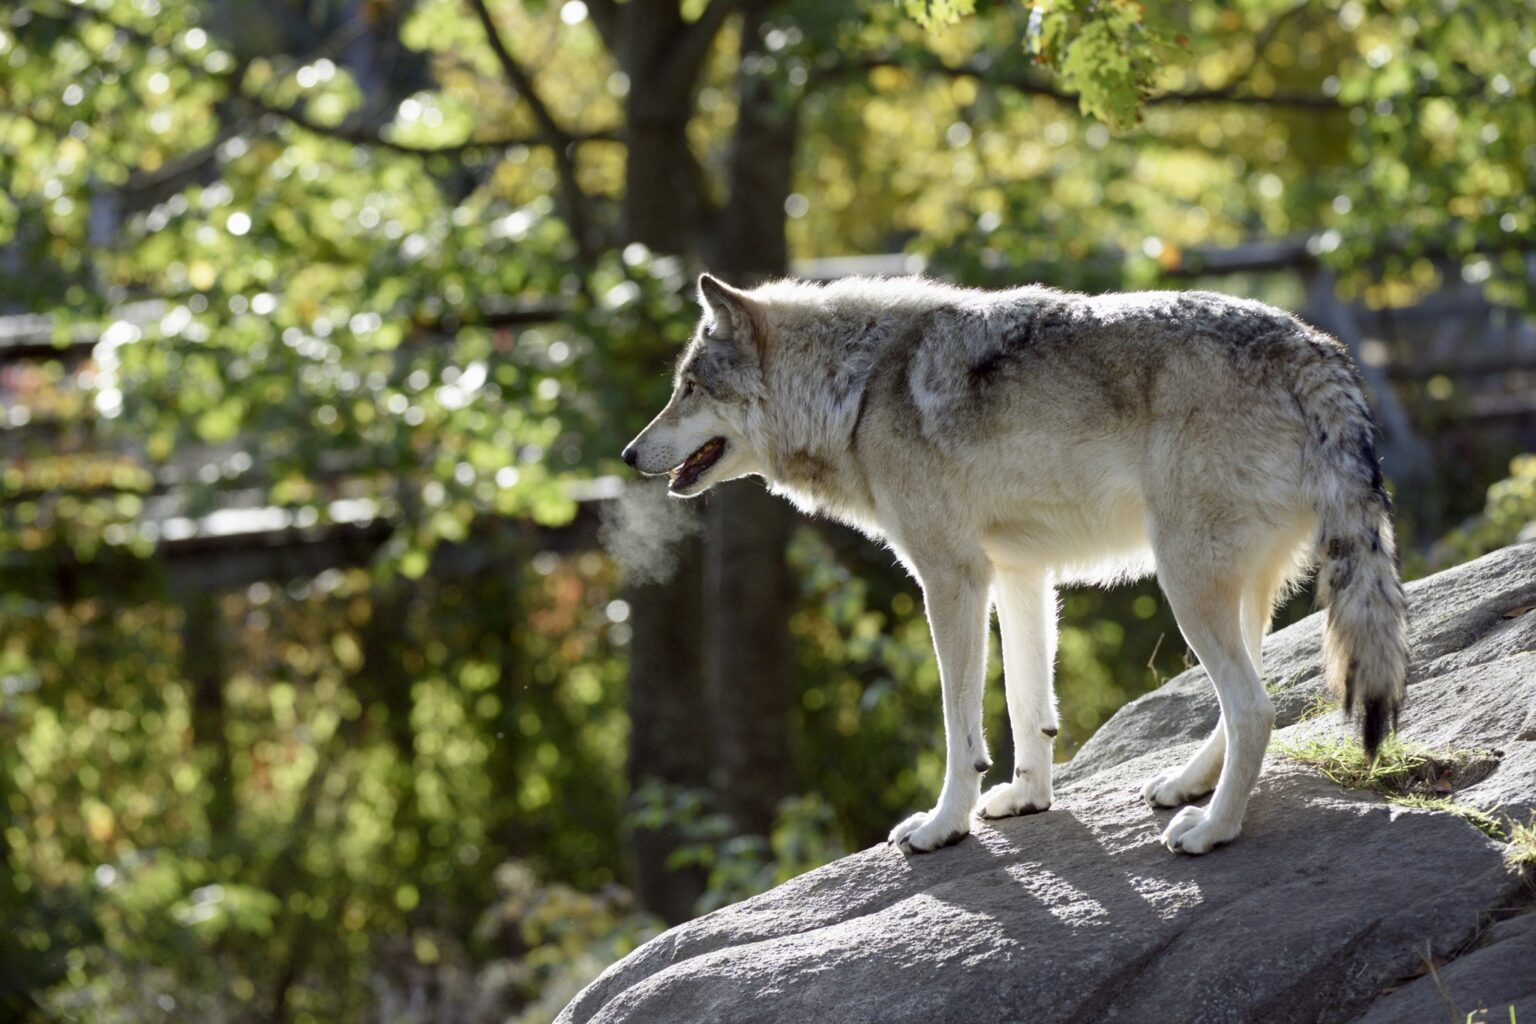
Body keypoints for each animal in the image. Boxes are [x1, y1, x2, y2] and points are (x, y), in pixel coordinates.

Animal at [622, 274, 1408, 855]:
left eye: (689, 388)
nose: (629, 455)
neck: (858, 390)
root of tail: (1315, 346)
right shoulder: (1021, 575)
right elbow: (1029, 708)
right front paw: (1029, 800)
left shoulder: (950, 579)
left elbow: (960, 725)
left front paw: (944, 825)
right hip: (1233, 590)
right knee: (1249, 701)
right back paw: (1186, 788)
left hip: (1186, 584)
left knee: (1253, 708)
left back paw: (1213, 830)